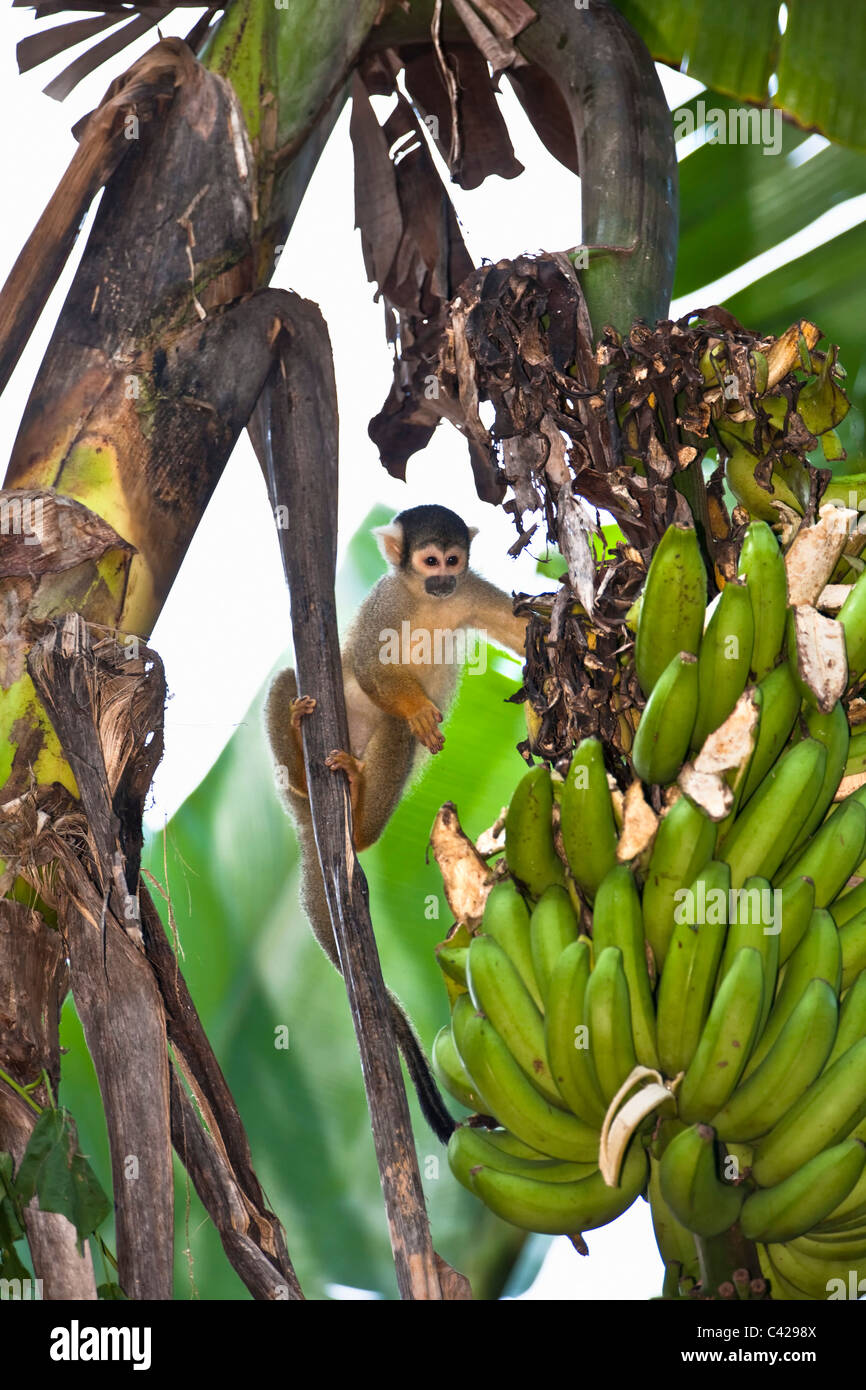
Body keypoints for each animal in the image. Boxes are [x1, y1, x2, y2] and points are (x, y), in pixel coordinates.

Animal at [265, 504, 529, 1143]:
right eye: (429, 560)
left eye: (454, 559)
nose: (443, 579)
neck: (423, 600)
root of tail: (312, 830)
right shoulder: (387, 602)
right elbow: (365, 661)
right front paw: (416, 707)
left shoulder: (471, 593)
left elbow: (518, 629)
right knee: (295, 684)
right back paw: (305, 768)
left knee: (392, 738)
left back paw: (359, 822)